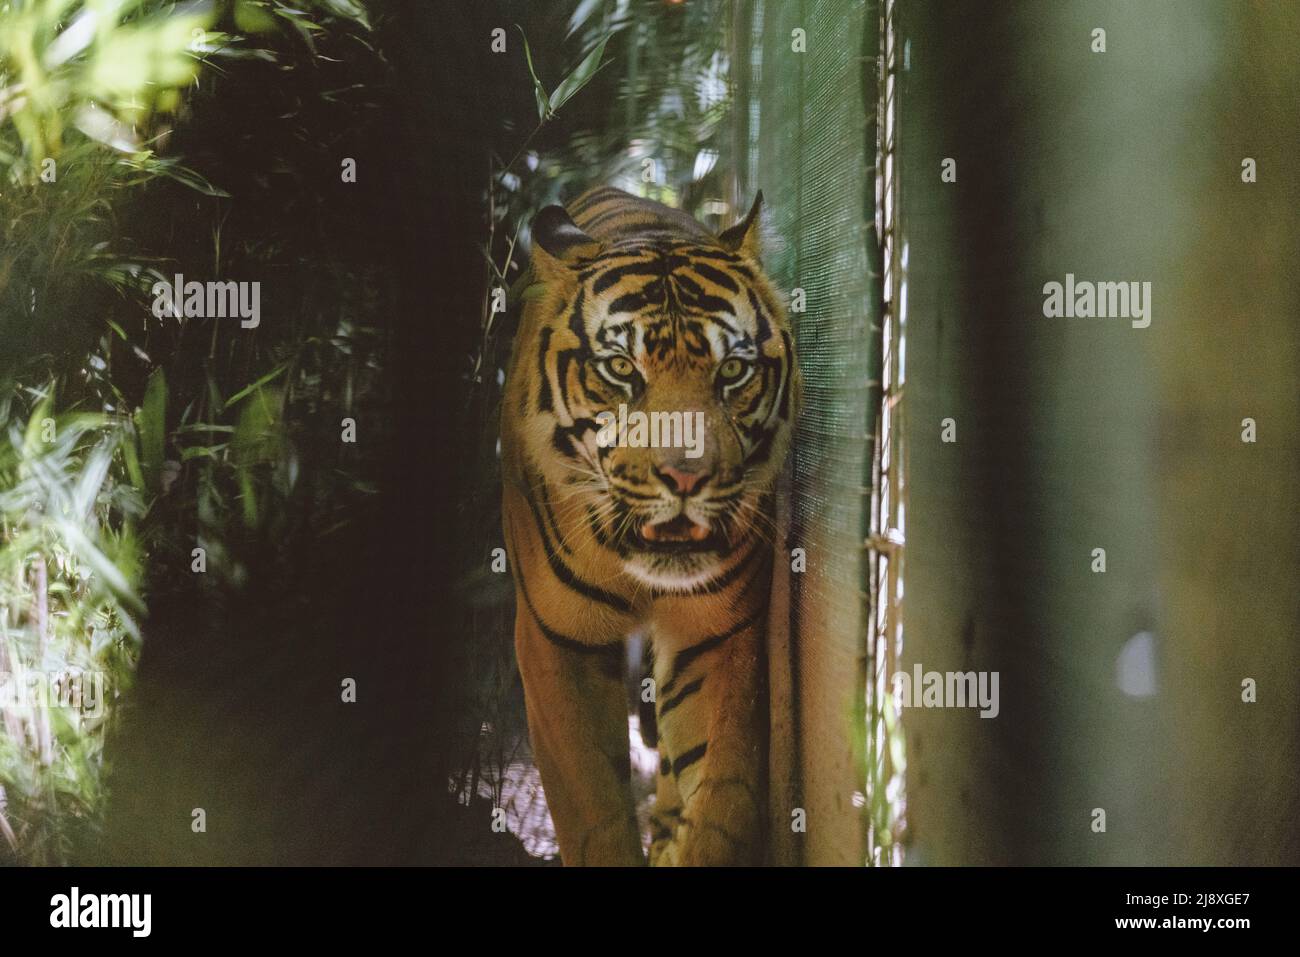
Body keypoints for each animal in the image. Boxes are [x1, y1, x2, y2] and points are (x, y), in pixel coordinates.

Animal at [500, 186, 799, 865]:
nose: (686, 479)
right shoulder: (558, 641)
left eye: (732, 372)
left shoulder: (720, 634)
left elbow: (722, 798)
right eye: (619, 370)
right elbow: (593, 812)